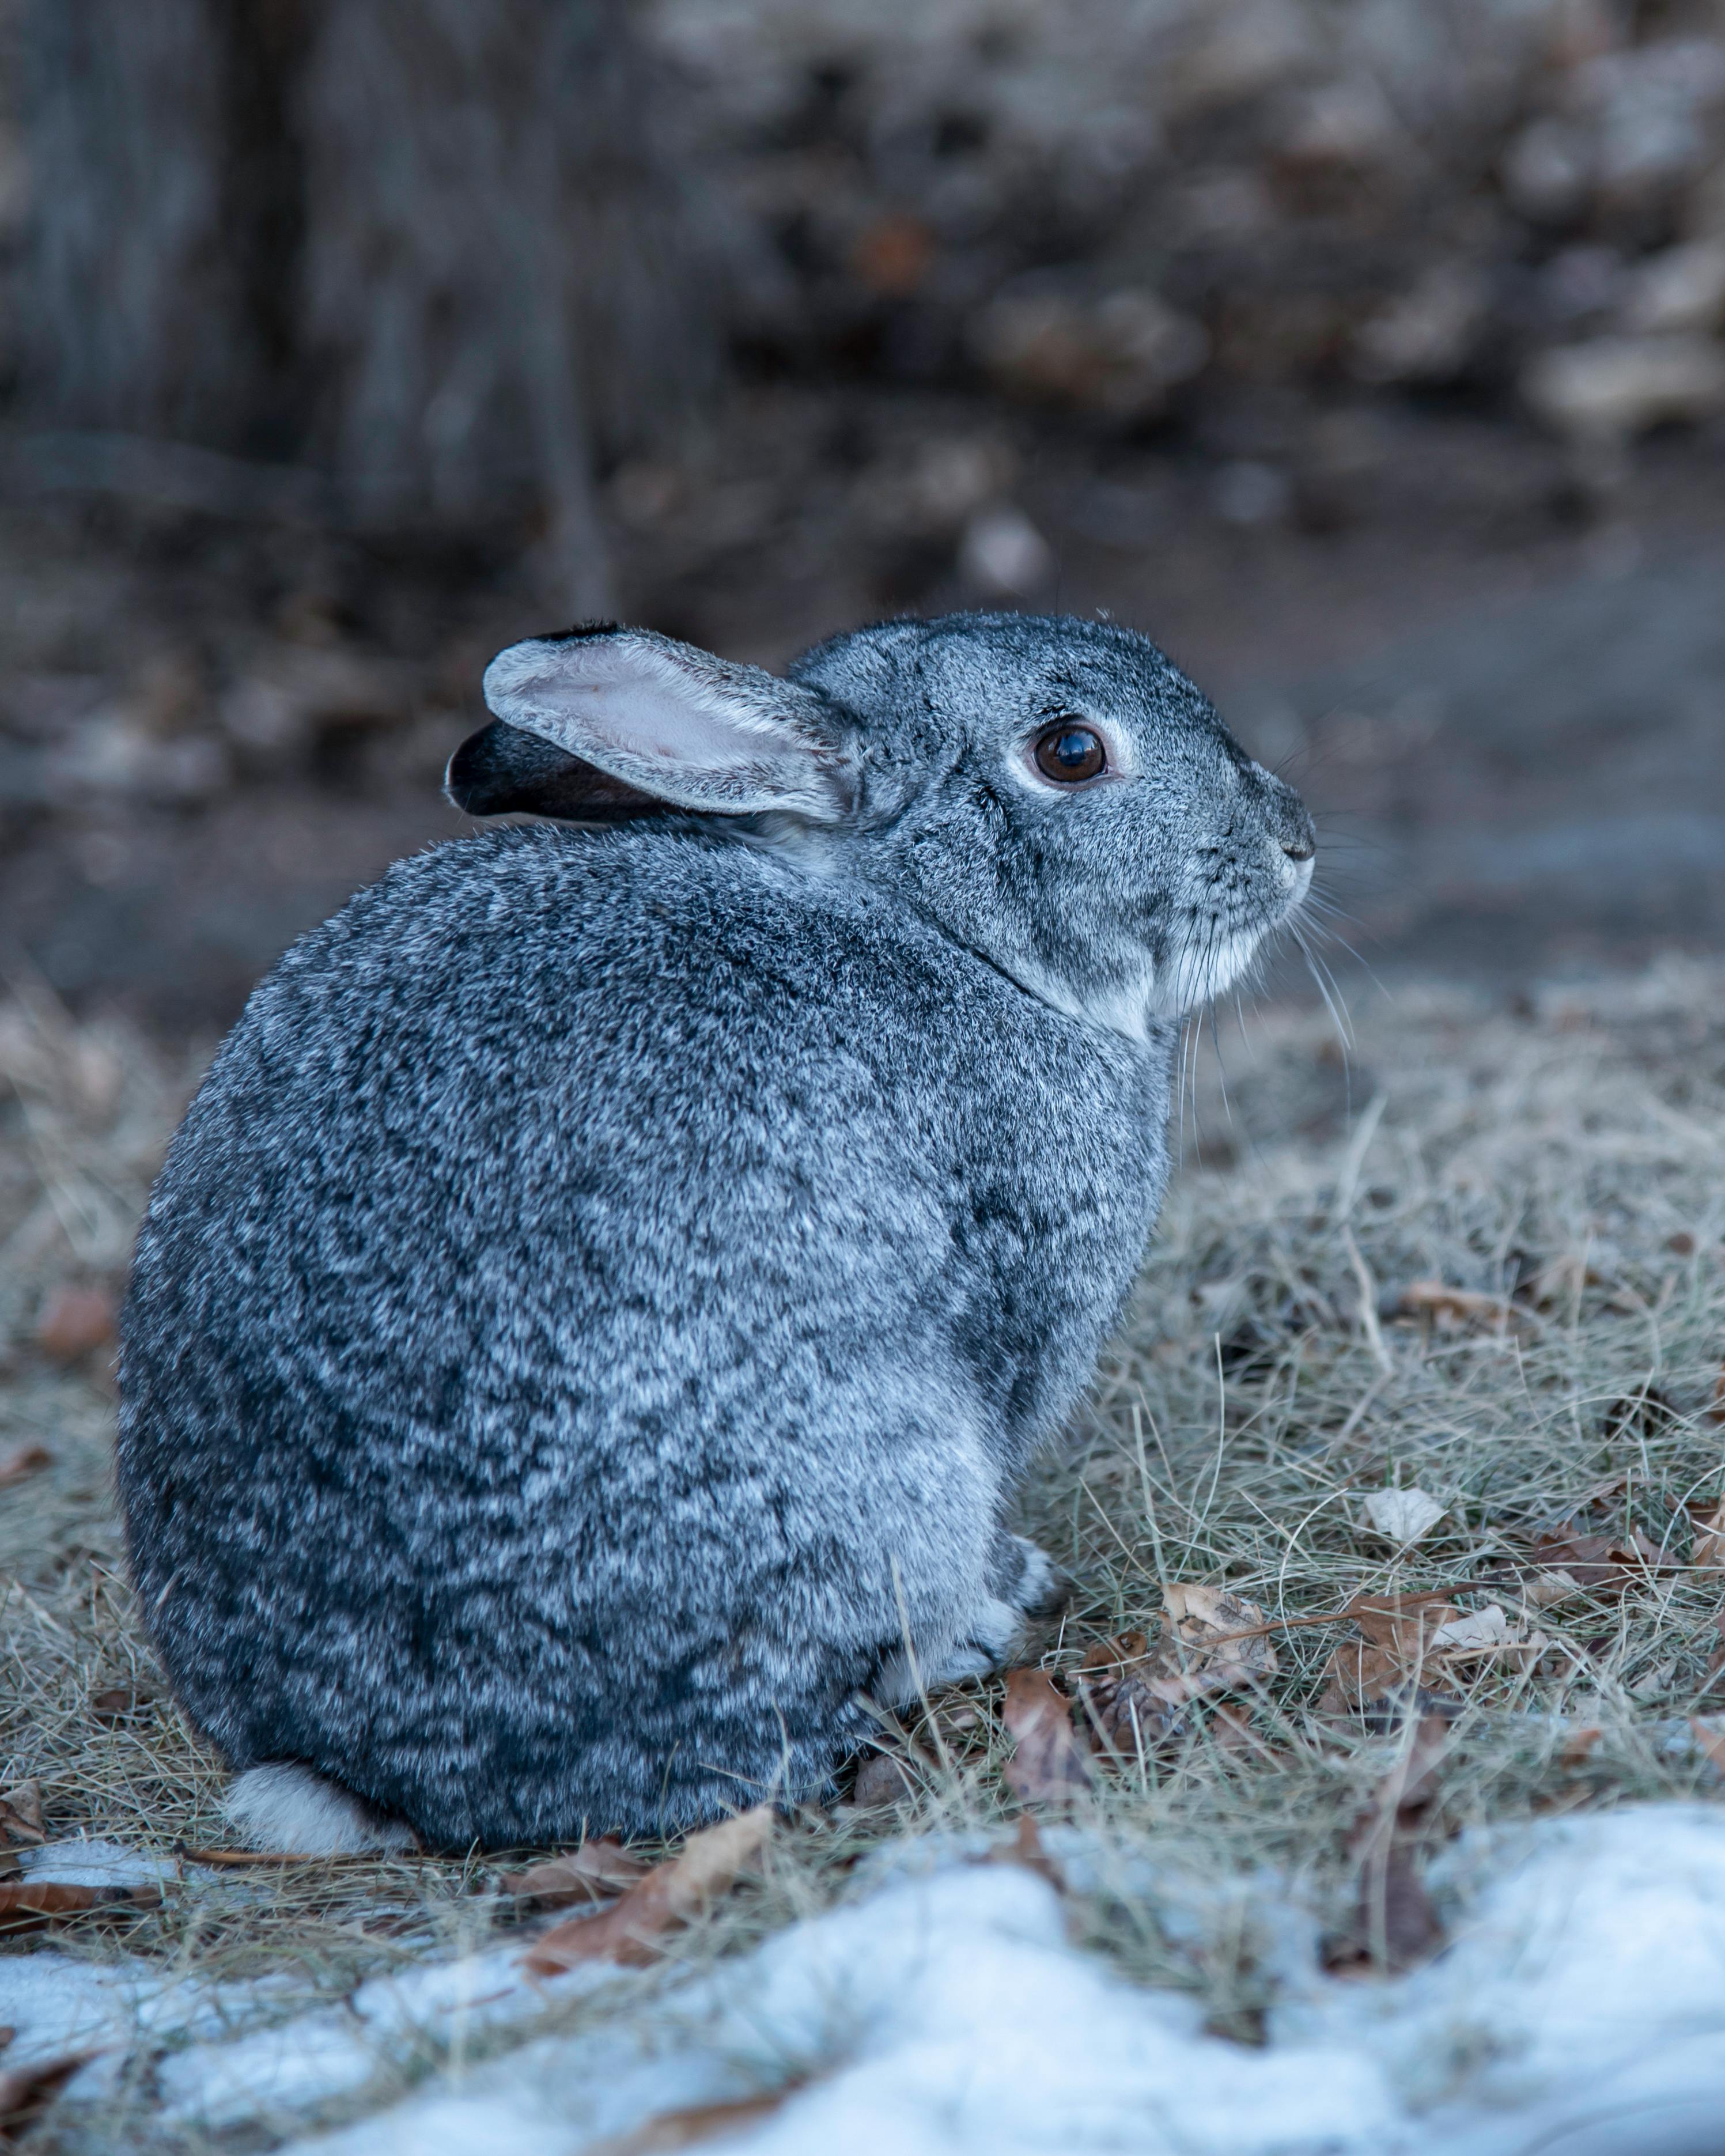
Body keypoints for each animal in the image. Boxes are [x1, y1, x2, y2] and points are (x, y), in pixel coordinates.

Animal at [116, 611, 1314, 1853]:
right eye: (1070, 752)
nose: (1294, 840)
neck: (924, 921)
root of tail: (362, 1773)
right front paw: (1014, 1572)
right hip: (871, 1469)